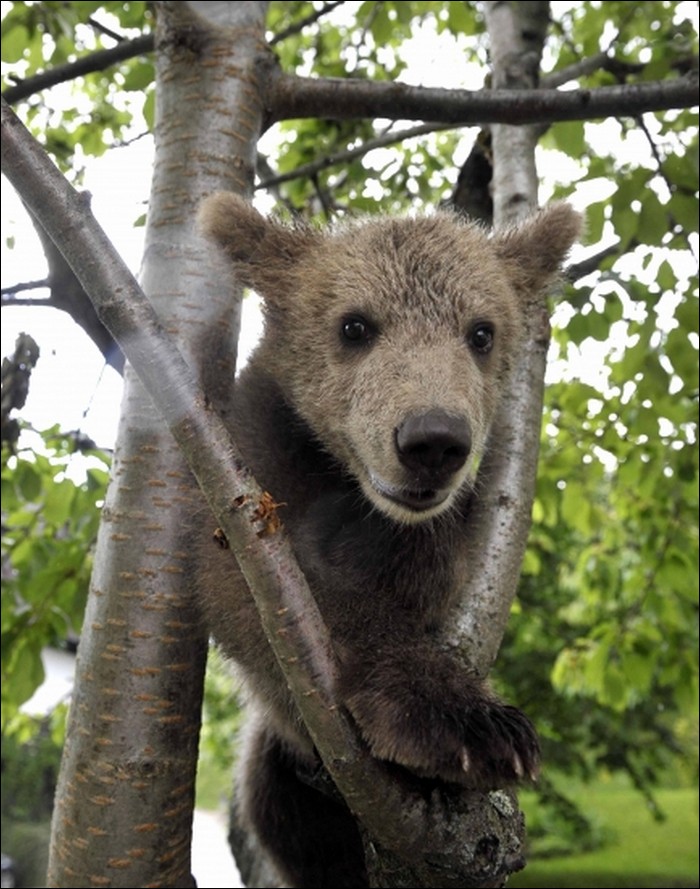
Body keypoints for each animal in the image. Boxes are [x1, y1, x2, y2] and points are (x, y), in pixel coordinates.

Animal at [195, 193, 581, 888]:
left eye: (481, 332)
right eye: (354, 326)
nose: (433, 440)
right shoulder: (247, 466)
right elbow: (259, 595)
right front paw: (470, 724)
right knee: (284, 810)